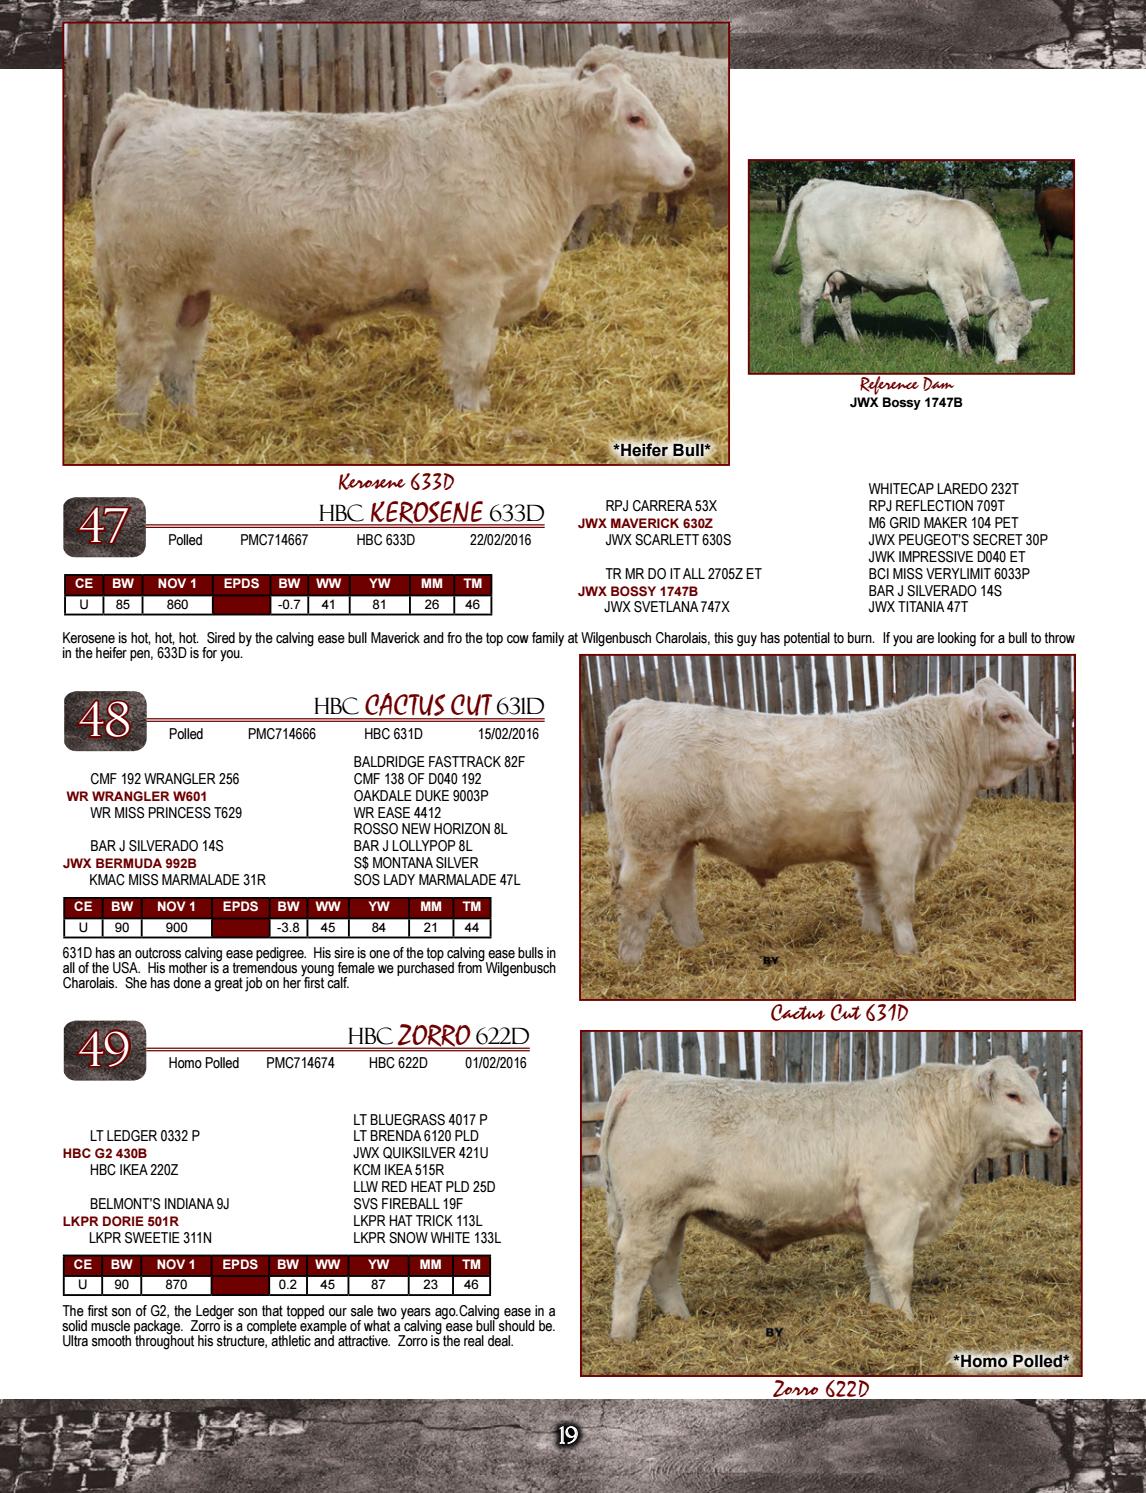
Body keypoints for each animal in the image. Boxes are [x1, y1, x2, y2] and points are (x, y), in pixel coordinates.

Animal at [90, 74, 694, 428]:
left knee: (179, 364)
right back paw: (136, 433)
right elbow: (471, 363)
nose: (687, 168)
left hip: (192, 291)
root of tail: (150, 109)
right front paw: (472, 420)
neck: (521, 157)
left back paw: (189, 424)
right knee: (138, 362)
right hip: (150, 285)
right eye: (635, 117)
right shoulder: (469, 288)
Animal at [600, 1058, 1063, 1340]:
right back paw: (623, 1336)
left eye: (1034, 1090)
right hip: (649, 1209)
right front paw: (906, 1323)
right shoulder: (896, 1210)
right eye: (1013, 1095)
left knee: (664, 1267)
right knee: (634, 1266)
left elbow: (876, 1269)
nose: (1056, 1130)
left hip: (671, 1213)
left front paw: (880, 1315)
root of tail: (643, 1076)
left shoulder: (874, 1215)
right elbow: (900, 1272)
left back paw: (681, 1320)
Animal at [601, 676, 1058, 965]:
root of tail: (643, 708)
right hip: (651, 842)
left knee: (677, 897)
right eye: (1005, 715)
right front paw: (908, 950)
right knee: (637, 899)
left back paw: (694, 946)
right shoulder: (898, 839)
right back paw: (631, 963)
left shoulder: (870, 846)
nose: (1052, 743)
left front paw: (872, 935)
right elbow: (901, 900)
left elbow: (870, 894)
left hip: (677, 843)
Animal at [770, 178, 1048, 362]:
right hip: (815, 267)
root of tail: (821, 183)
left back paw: (855, 341)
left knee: (842, 306)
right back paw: (808, 343)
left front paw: (950, 349)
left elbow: (952, 321)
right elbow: (961, 321)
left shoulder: (954, 292)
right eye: (1001, 325)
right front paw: (967, 355)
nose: (1008, 362)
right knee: (809, 300)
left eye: (1025, 332)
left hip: (844, 273)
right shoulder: (947, 283)